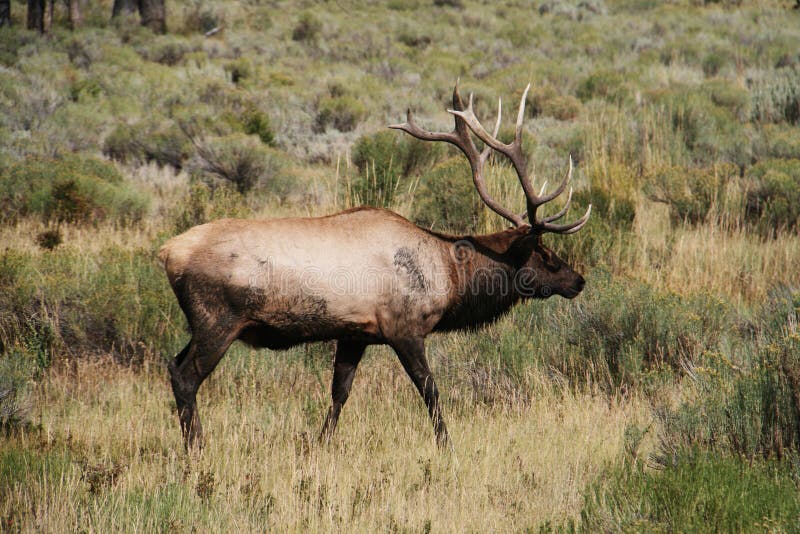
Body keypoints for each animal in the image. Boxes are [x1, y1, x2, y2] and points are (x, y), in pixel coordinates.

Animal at [159, 83, 591, 450]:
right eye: (545, 254)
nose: (579, 280)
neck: (450, 277)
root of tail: (167, 253)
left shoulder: (355, 333)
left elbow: (340, 392)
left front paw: (321, 444)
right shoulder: (405, 327)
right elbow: (430, 390)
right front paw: (447, 446)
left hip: (203, 324)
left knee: (173, 364)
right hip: (218, 320)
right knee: (185, 376)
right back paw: (196, 447)